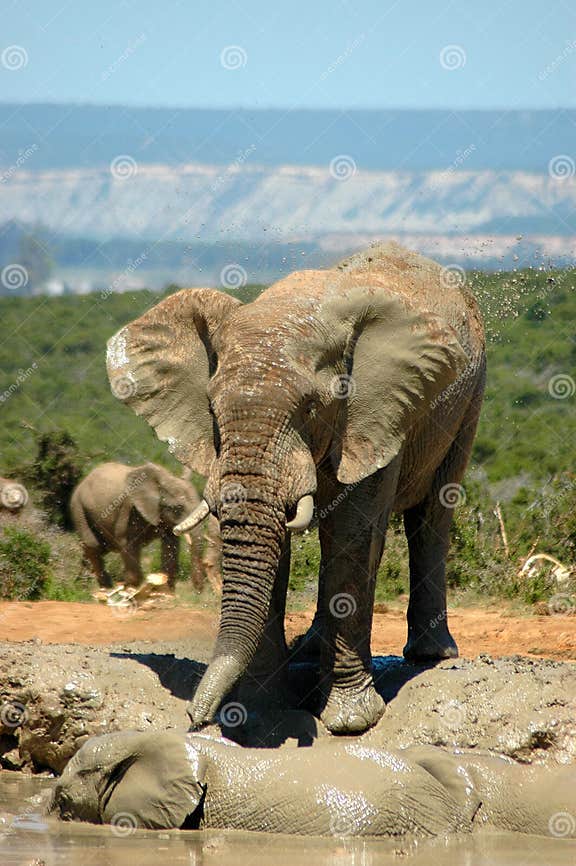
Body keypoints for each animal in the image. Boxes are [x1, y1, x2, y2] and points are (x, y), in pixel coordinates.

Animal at [70, 461, 206, 590]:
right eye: (178, 508)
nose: (198, 590)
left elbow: (171, 546)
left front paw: (165, 593)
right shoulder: (129, 511)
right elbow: (128, 545)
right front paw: (131, 590)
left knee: (97, 550)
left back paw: (82, 586)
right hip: (79, 508)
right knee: (93, 545)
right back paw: (105, 589)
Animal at [106, 242, 486, 734]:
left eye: (310, 407)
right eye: (211, 407)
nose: (195, 720)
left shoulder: (374, 410)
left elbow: (352, 533)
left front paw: (350, 723)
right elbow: (275, 543)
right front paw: (262, 710)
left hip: (470, 397)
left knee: (433, 514)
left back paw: (431, 654)